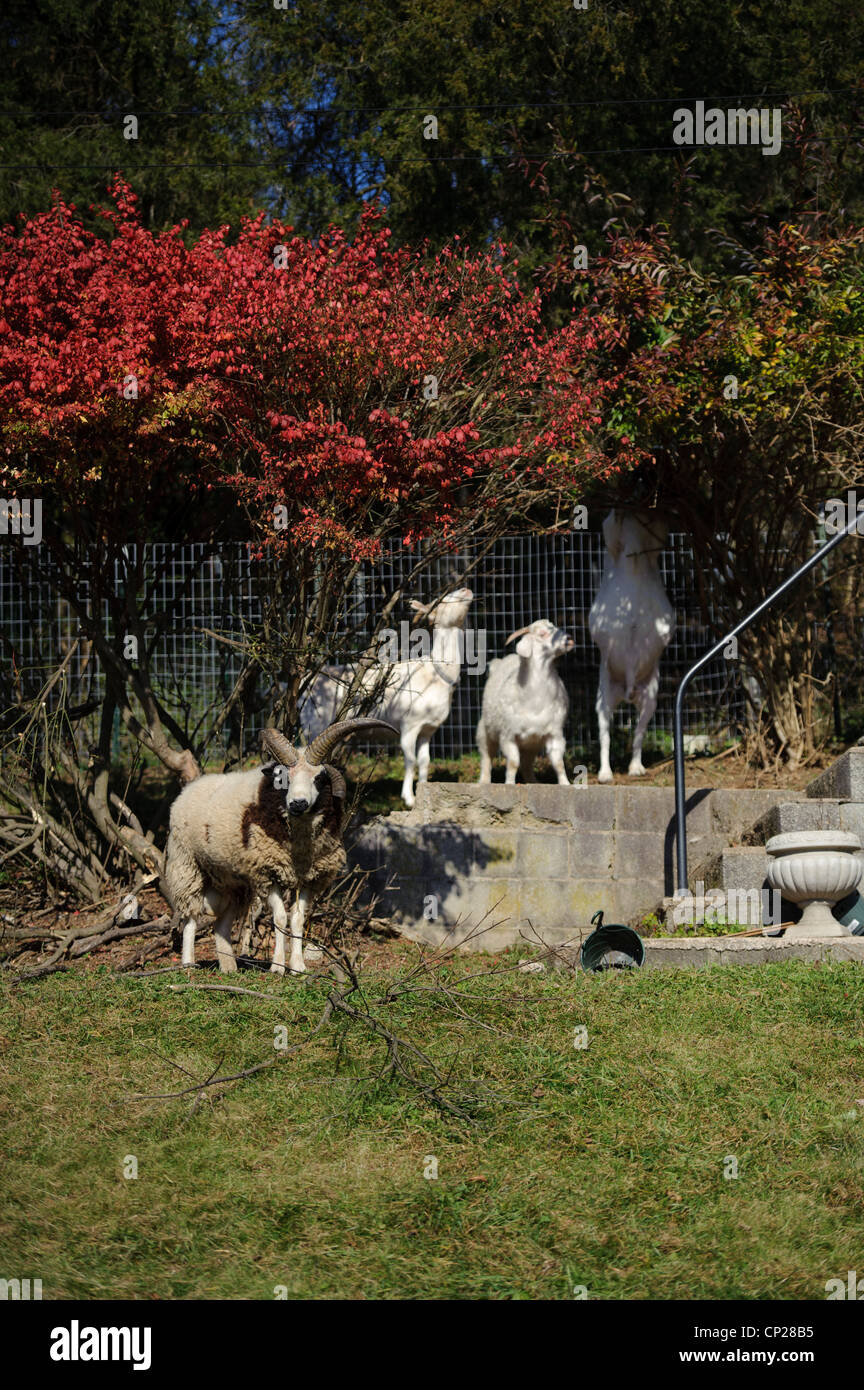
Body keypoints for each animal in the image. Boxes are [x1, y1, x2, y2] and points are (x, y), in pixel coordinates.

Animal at [163, 717, 397, 976]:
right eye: (284, 778)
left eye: (319, 778)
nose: (298, 803)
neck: (300, 845)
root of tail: (190, 787)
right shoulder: (268, 872)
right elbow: (280, 918)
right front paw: (277, 966)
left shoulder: (309, 878)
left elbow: (297, 919)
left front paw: (298, 966)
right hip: (187, 865)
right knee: (191, 916)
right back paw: (188, 963)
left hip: (231, 881)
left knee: (222, 923)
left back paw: (229, 967)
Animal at [299, 588, 475, 809]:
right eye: (442, 600)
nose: (466, 590)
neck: (436, 673)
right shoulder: (409, 725)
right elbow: (411, 760)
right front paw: (409, 798)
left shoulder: (427, 729)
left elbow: (424, 761)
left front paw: (424, 790)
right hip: (313, 724)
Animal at [477, 619, 575, 785]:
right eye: (542, 633)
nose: (569, 639)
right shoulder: (508, 736)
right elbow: (513, 762)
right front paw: (509, 784)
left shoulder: (554, 734)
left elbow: (558, 763)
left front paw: (565, 784)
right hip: (486, 730)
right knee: (486, 756)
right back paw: (484, 780)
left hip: (532, 743)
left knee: (527, 763)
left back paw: (533, 782)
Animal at [588, 509, 675, 783]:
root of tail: (627, 693)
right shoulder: (613, 541)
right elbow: (613, 526)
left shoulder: (655, 541)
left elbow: (657, 528)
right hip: (603, 700)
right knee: (605, 736)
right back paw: (605, 773)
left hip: (649, 700)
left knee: (638, 735)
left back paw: (636, 768)